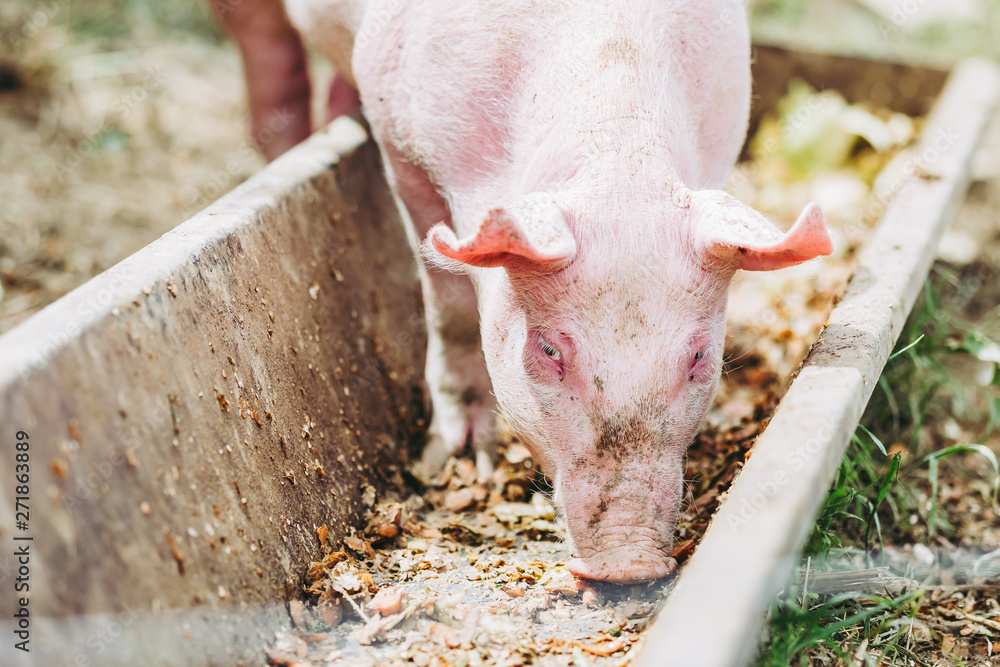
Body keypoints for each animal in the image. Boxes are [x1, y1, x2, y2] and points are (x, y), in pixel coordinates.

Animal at [273, 0, 834, 583]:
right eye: (547, 350)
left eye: (700, 356)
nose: (629, 563)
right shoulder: (400, 142)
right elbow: (448, 302)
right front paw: (456, 457)